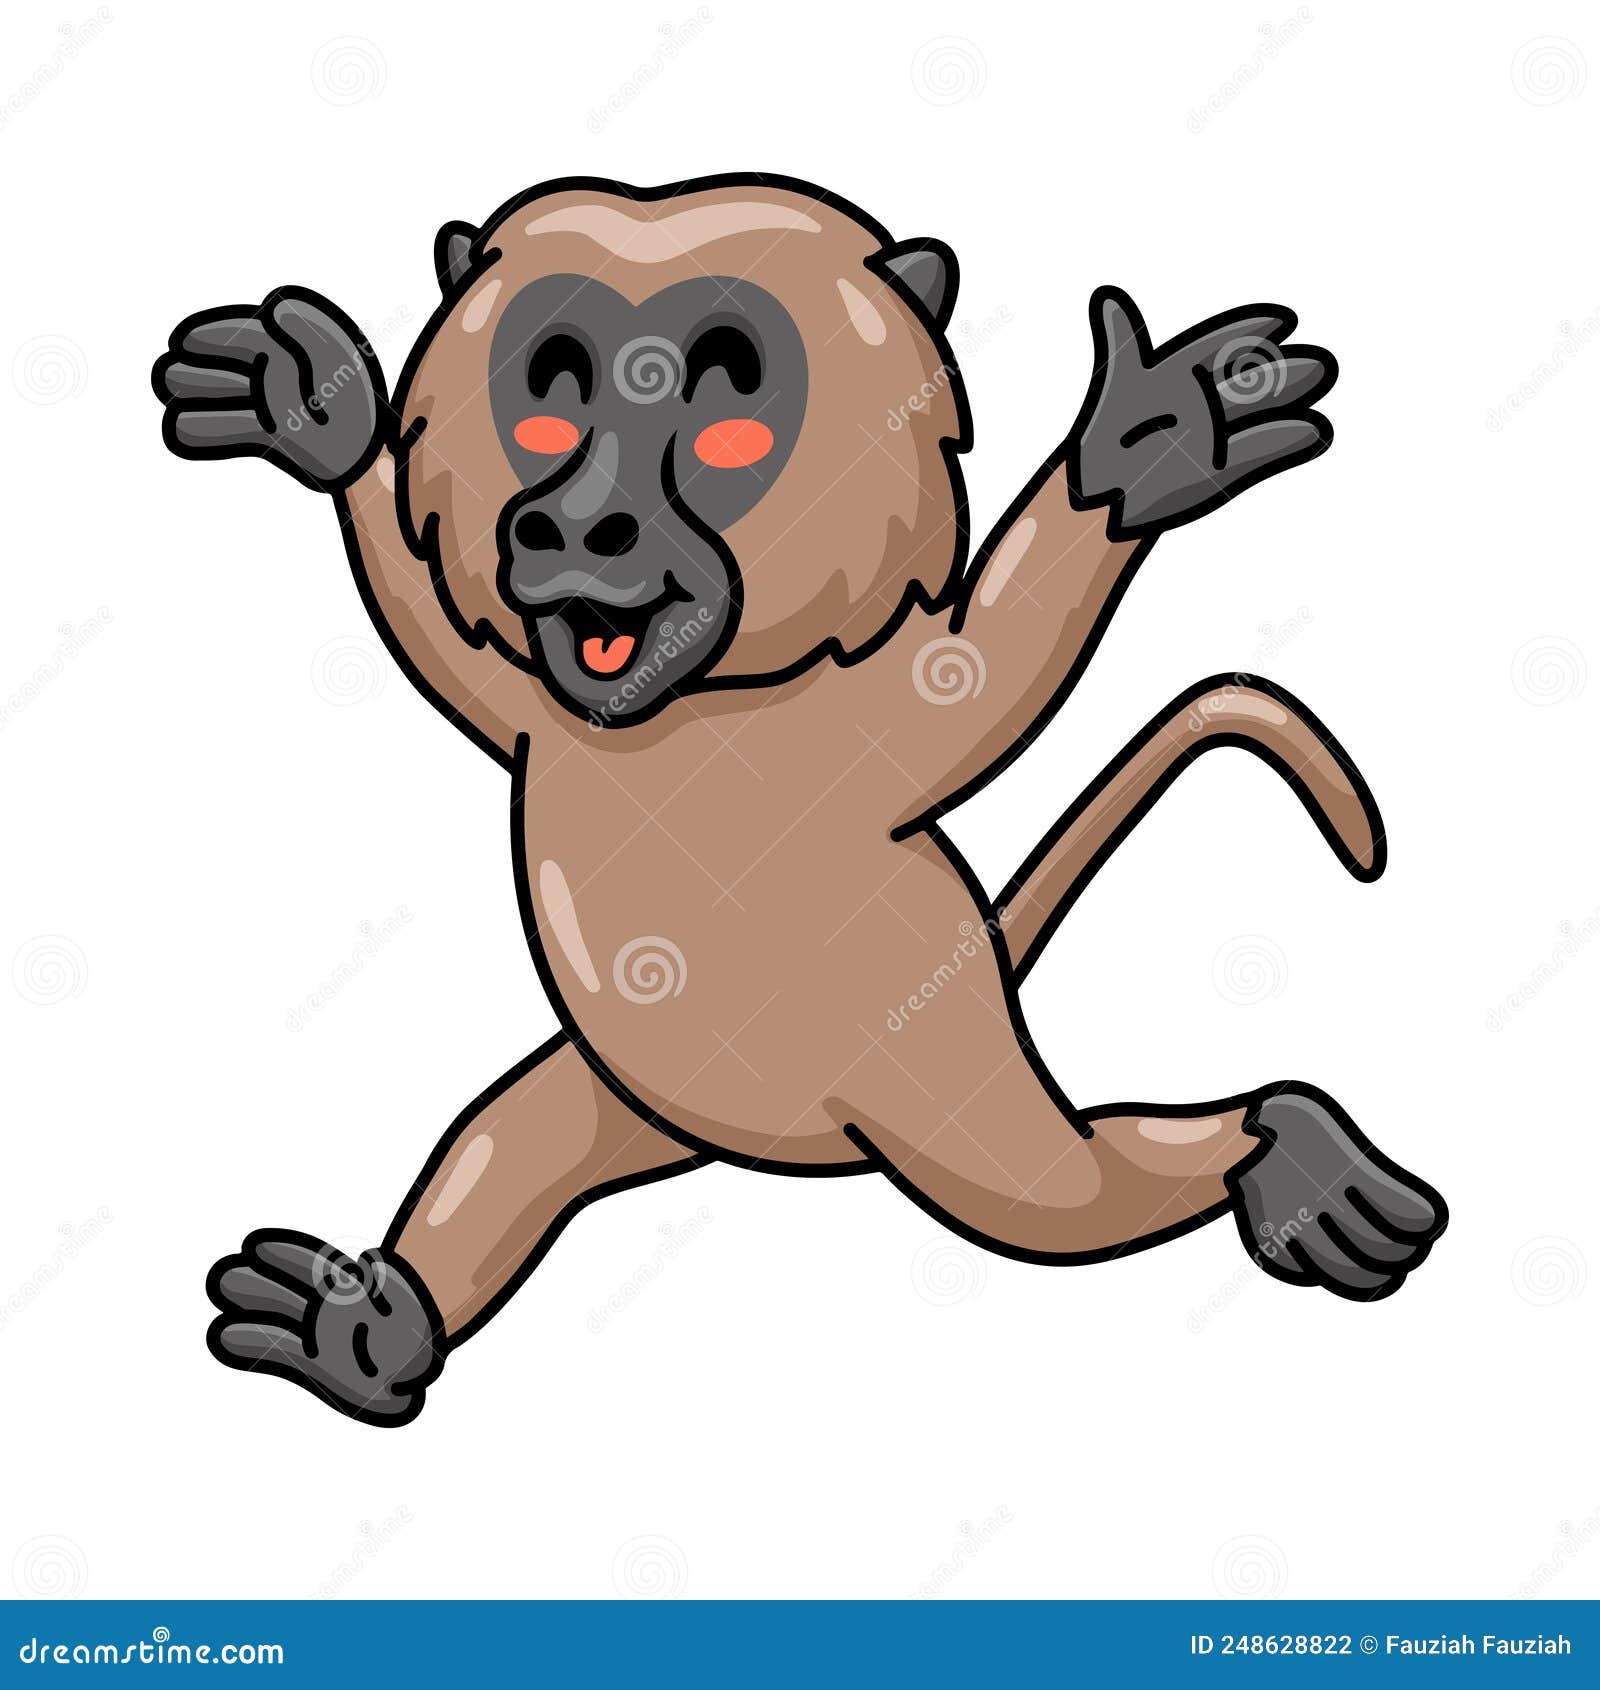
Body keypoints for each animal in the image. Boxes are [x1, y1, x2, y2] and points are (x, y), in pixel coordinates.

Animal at [153, 174, 1446, 1426]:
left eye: (727, 412)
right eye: (547, 403)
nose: (573, 520)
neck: (700, 706)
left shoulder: (872, 731)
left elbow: (994, 677)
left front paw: (1151, 442)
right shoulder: (529, 710)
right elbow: (430, 629)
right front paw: (317, 410)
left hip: (942, 1074)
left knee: (1067, 1191)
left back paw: (1285, 1147)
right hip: (627, 1093)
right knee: (509, 1141)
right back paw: (364, 1332)